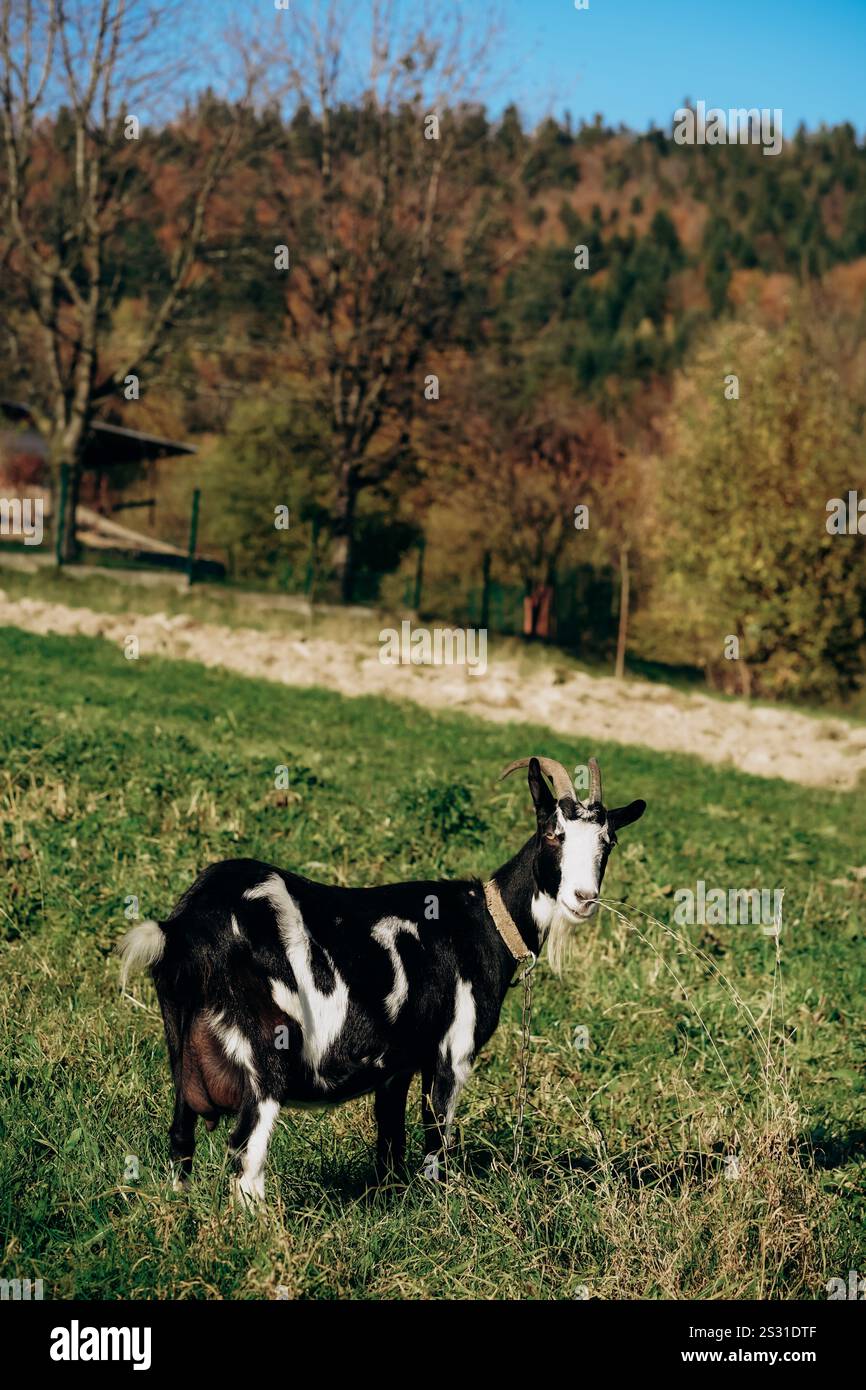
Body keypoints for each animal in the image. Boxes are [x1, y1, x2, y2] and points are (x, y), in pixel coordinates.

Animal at [118, 755, 646, 1204]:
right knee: (246, 1158)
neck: (484, 923)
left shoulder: (396, 1064)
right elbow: (435, 1135)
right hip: (266, 1054)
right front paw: (438, 1206)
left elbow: (389, 1140)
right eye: (554, 834)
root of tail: (186, 928)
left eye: (608, 842)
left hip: (181, 1045)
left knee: (181, 1139)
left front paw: (392, 1204)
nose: (584, 897)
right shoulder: (451, 1050)